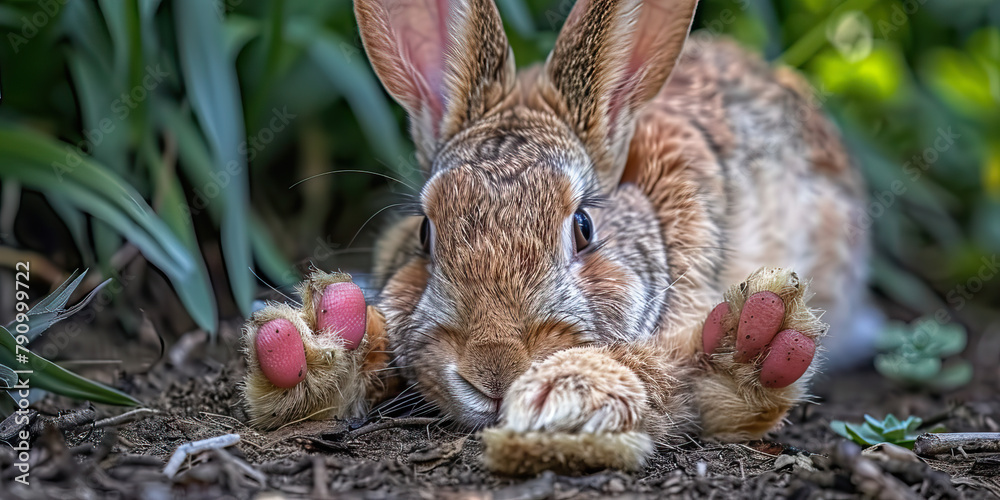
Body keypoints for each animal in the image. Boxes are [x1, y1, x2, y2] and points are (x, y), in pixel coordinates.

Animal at [239, 0, 870, 475]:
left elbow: (665, 369)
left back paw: (756, 345)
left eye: (583, 228)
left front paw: (569, 396)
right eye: (424, 232)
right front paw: (307, 355)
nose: (495, 374)